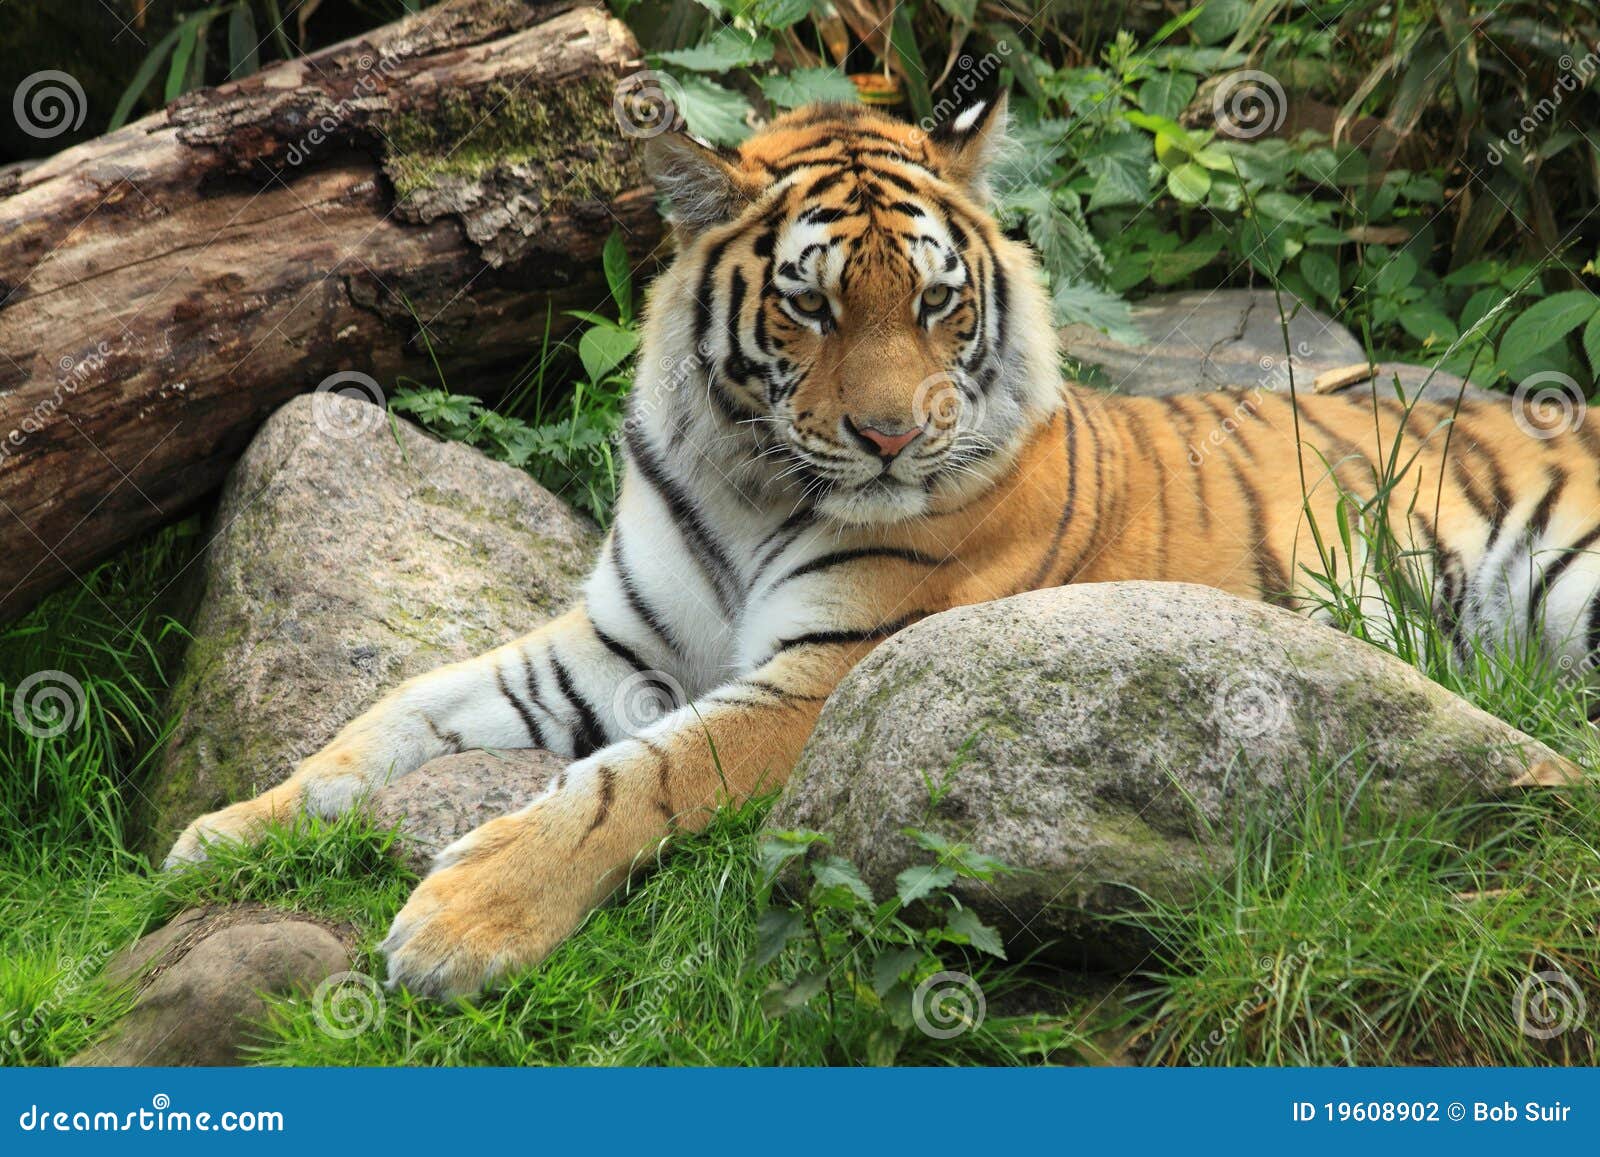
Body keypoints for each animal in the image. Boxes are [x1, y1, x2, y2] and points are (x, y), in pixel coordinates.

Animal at [165, 95, 1597, 998]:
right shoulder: (610, 645)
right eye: (805, 308)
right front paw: (223, 832)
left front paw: (464, 920)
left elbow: (633, 779)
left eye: (938, 302)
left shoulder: (825, 676)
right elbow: (389, 713)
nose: (893, 435)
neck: (745, 480)